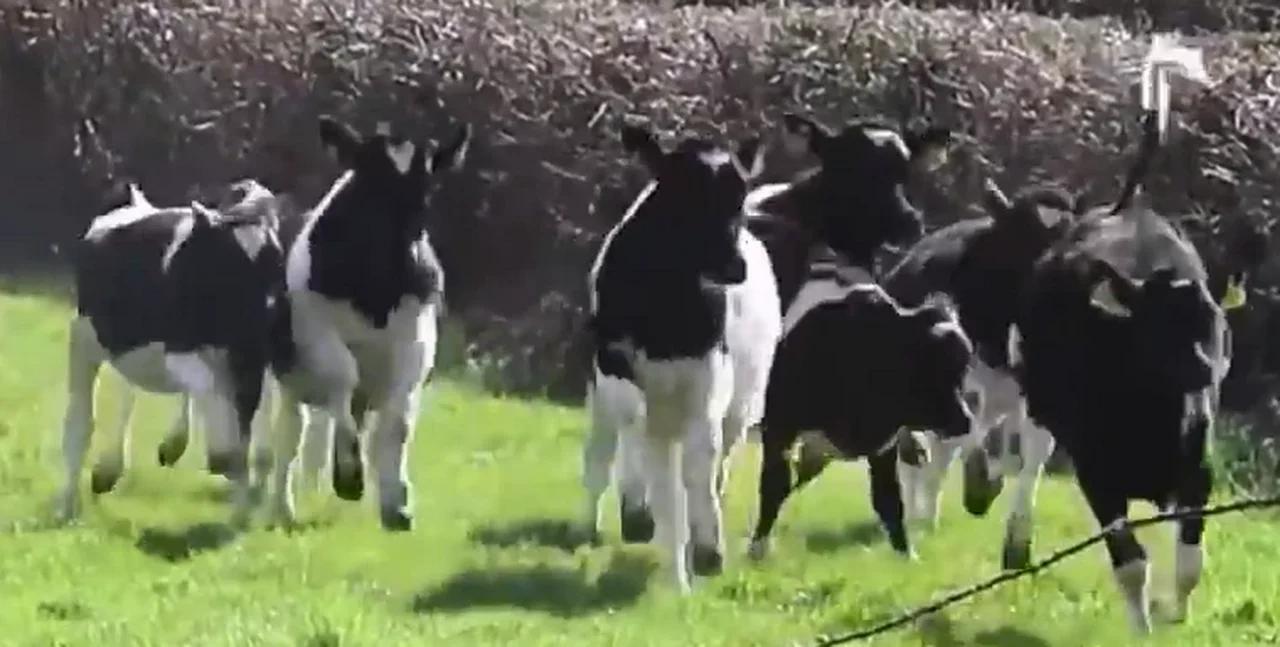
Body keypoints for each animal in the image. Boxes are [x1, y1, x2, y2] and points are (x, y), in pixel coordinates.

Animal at [57, 180, 285, 527]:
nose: (268, 320)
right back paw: (72, 499)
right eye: (230, 267)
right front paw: (221, 453)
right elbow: (213, 398)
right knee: (81, 420)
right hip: (84, 339)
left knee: (133, 392)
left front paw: (240, 507)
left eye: (276, 265)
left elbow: (247, 429)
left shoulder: (252, 362)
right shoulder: (181, 349)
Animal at [265, 116, 471, 531]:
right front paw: (347, 473)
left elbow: (397, 423)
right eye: (369, 185)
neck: (376, 287)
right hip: (287, 380)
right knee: (289, 432)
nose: (408, 254)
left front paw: (396, 502)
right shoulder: (315, 331)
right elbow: (343, 374)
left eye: (426, 191)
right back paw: (283, 506)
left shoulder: (416, 341)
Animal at [582, 122, 778, 592]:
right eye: (685, 192)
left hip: (743, 403)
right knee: (608, 449)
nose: (734, 266)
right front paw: (642, 510)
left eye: (740, 197)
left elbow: (700, 458)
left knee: (715, 458)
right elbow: (634, 423)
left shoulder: (710, 376)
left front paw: (708, 549)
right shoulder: (611, 360)